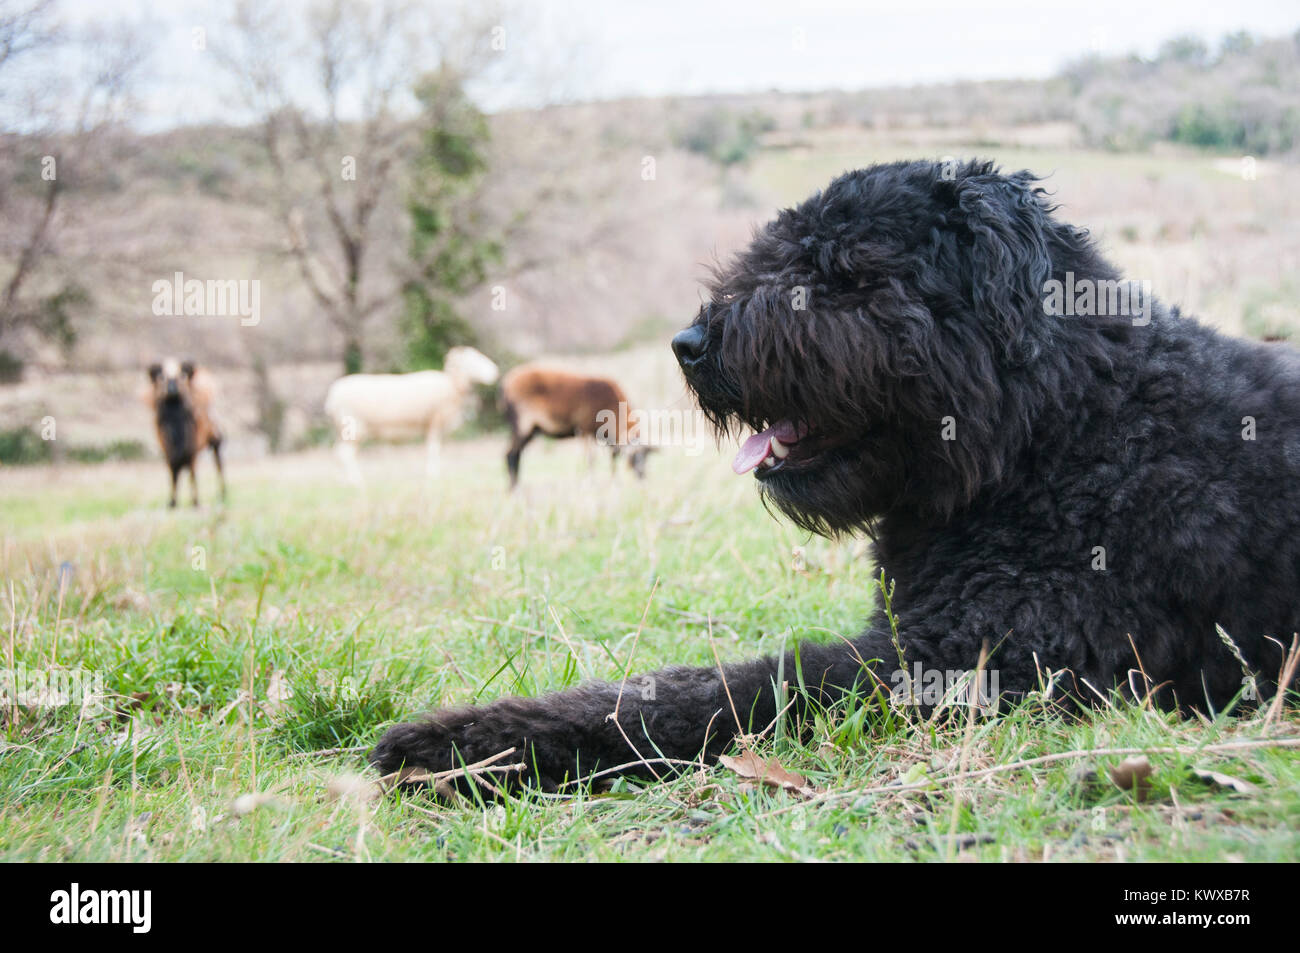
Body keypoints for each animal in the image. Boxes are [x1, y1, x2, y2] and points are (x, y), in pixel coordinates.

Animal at [144, 358, 226, 508]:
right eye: (162, 376)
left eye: (182, 375)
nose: (171, 388)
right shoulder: (168, 452)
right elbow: (173, 475)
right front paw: (172, 503)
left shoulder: (192, 450)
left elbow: (192, 475)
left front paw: (195, 502)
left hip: (216, 442)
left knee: (219, 466)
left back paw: (222, 494)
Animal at [323, 346, 499, 484]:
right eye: (473, 359)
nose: (495, 372)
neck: (452, 385)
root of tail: (331, 396)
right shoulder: (435, 420)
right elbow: (433, 449)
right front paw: (434, 475)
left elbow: (432, 449)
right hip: (355, 428)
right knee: (345, 454)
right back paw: (356, 481)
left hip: (343, 430)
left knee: (338, 453)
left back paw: (344, 480)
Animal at [501, 364, 651, 489]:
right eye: (637, 456)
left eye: (646, 457)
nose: (643, 475)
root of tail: (505, 385)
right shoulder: (584, 430)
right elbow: (591, 458)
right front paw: (590, 482)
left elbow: (610, 458)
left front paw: (614, 481)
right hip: (522, 425)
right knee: (511, 454)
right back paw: (514, 488)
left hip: (530, 429)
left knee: (515, 453)